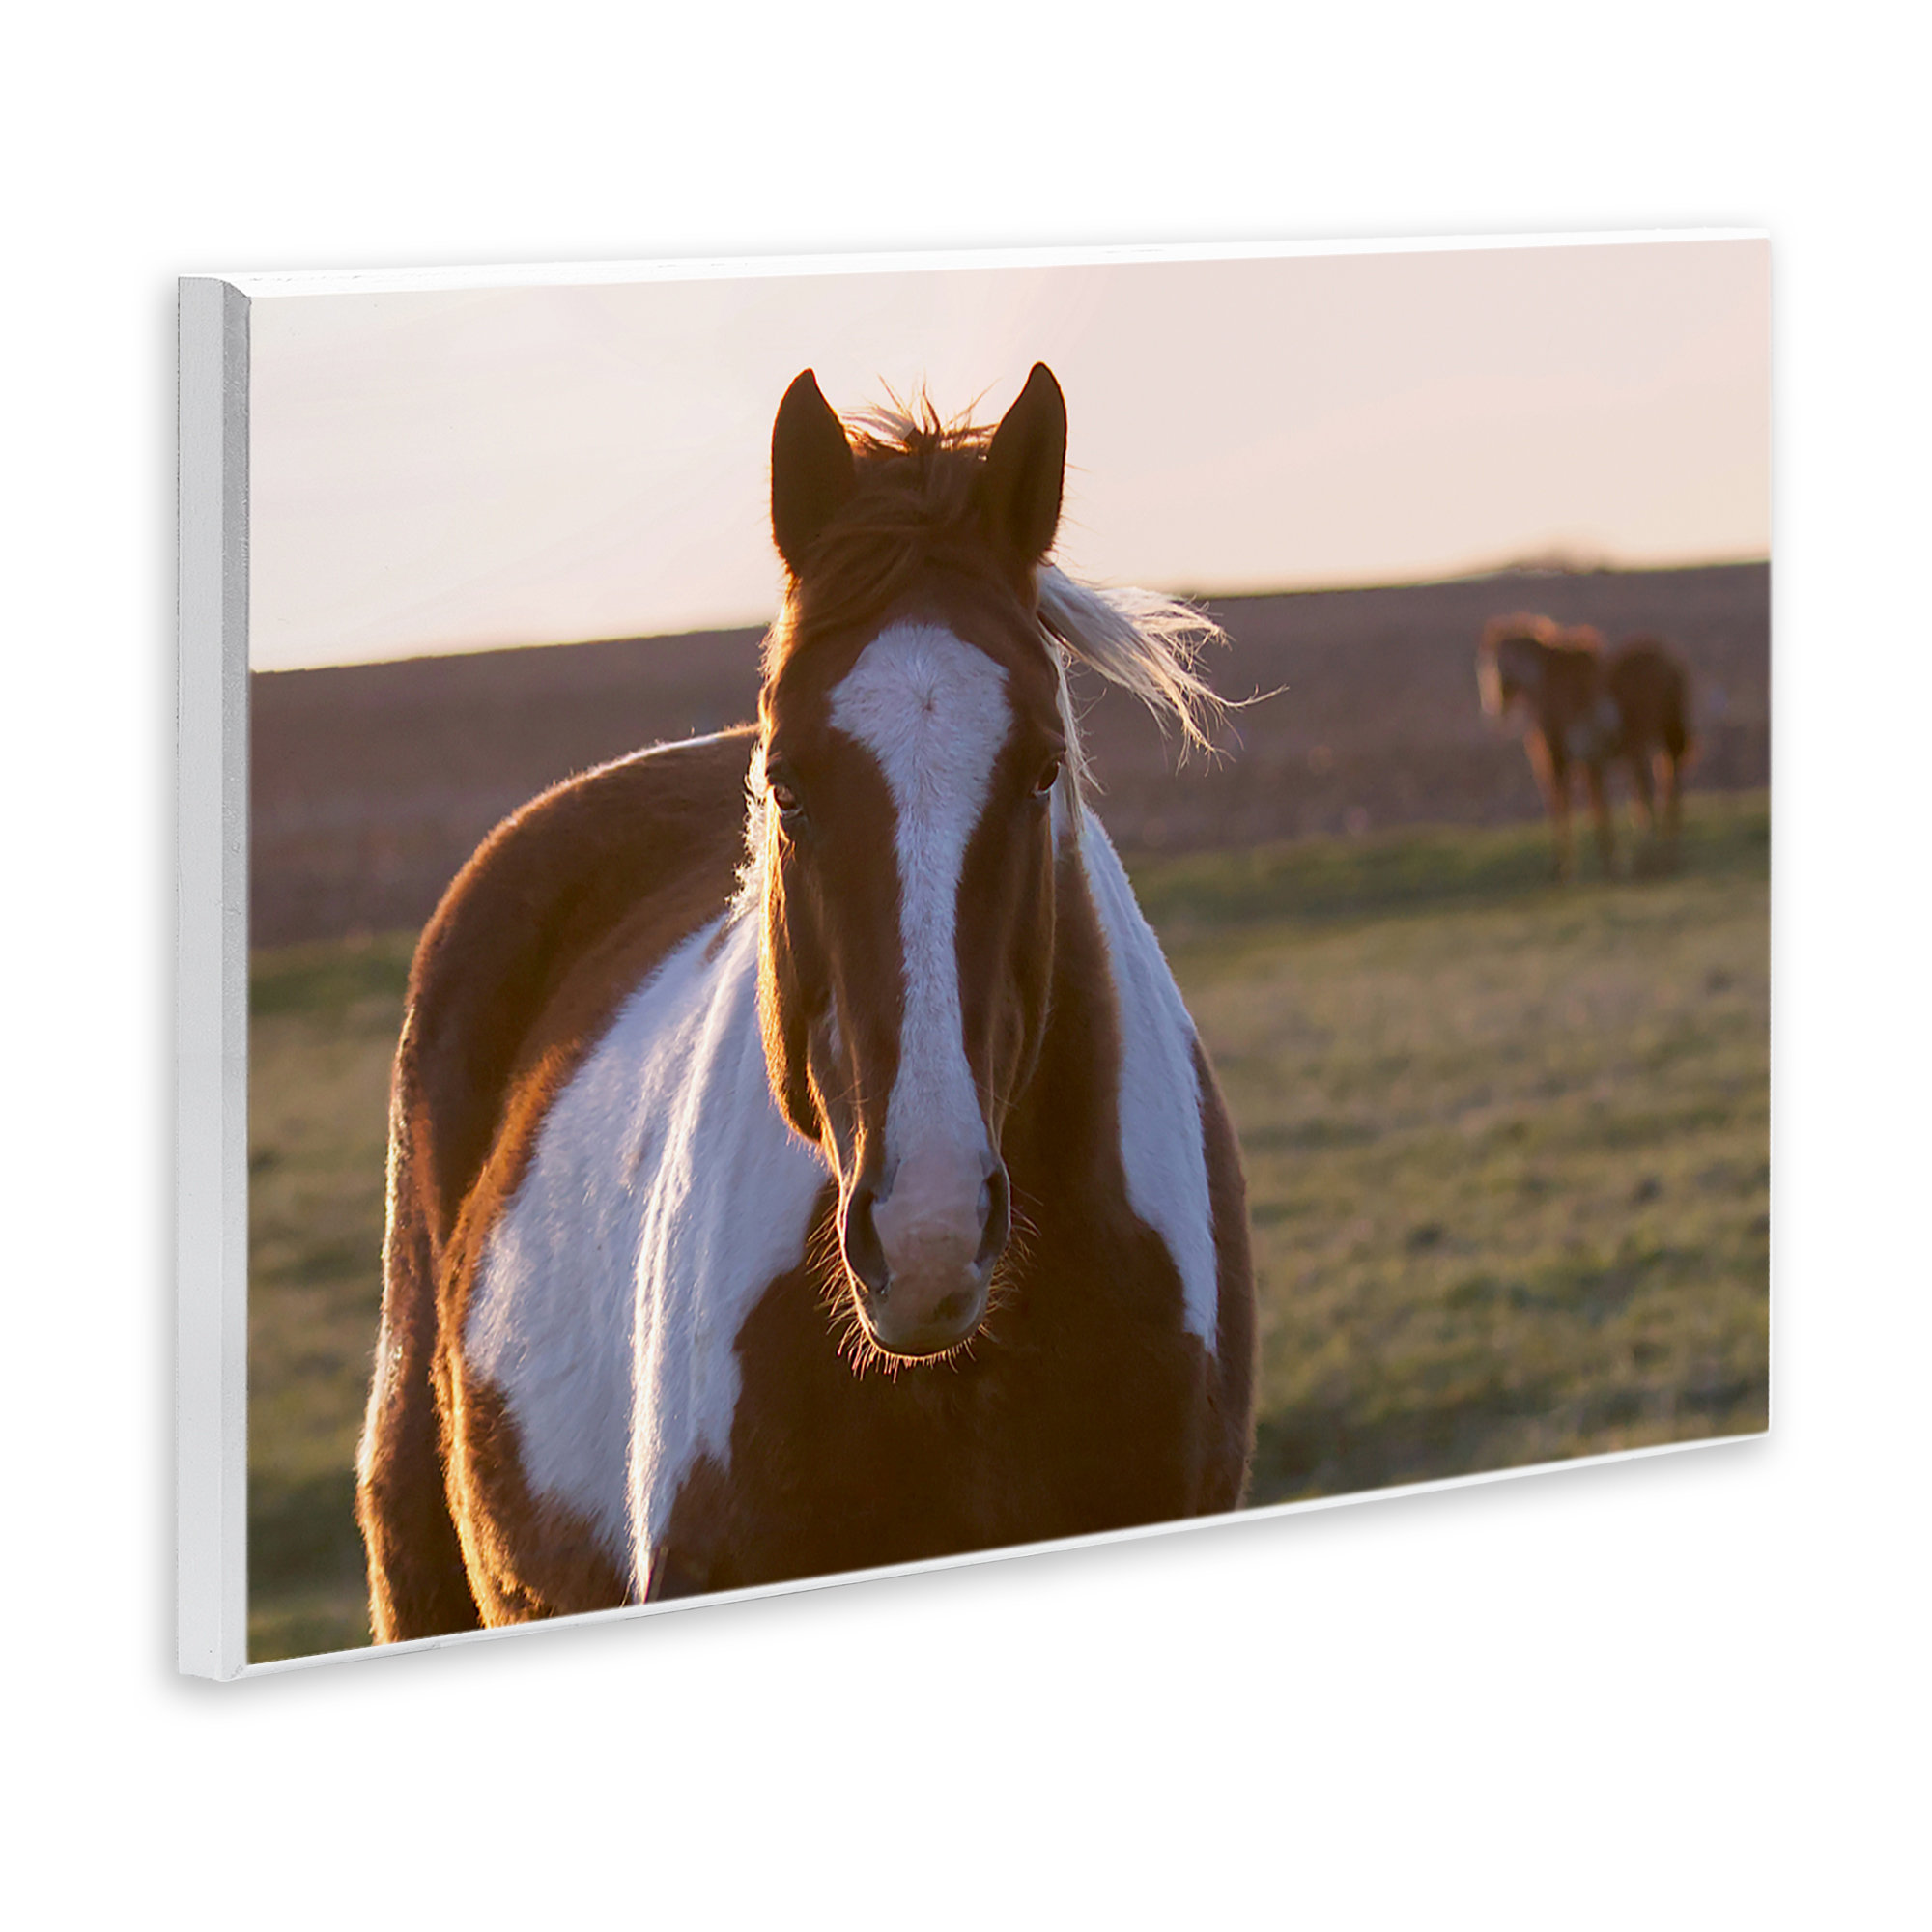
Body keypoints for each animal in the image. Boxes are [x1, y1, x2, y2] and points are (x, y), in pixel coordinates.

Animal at [1477, 613, 1694, 876]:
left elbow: (1564, 806)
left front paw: (1567, 866)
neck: (1549, 685)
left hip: (1652, 743)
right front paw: (1606, 859)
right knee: (1665, 785)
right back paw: (1663, 852)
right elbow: (1593, 806)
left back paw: (1656, 853)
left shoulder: (1559, 762)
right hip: (1656, 744)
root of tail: (1669, 660)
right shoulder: (1585, 762)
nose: (1495, 705)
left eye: (1495, 664)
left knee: (1659, 788)